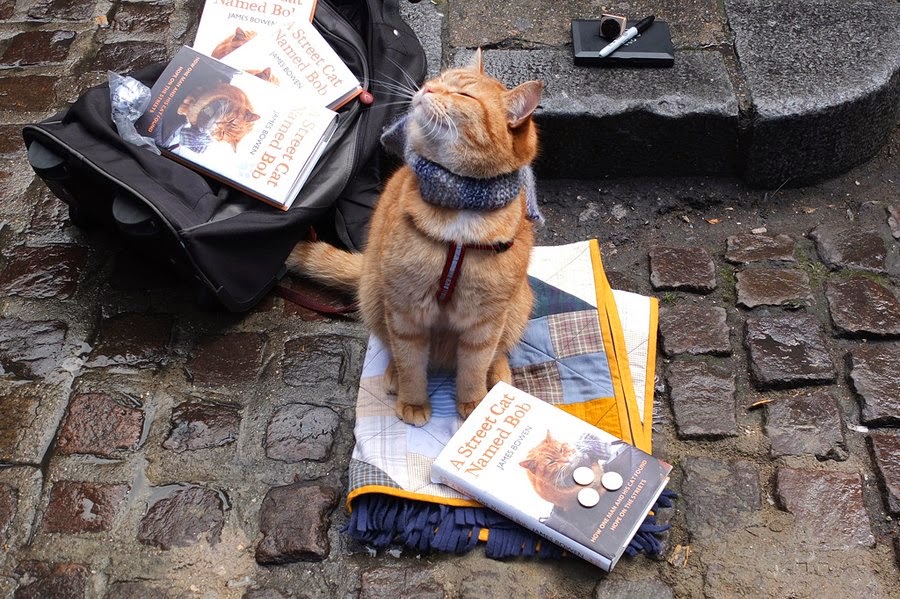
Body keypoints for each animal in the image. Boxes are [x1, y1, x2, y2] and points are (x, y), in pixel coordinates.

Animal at [288, 51, 540, 426]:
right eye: (439, 78)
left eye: (463, 94)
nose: (427, 87)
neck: (461, 205)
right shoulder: (405, 310)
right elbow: (410, 362)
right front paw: (413, 401)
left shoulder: (485, 320)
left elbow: (474, 367)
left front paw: (473, 403)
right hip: (374, 295)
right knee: (393, 348)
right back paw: (394, 374)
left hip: (516, 306)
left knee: (498, 353)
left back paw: (497, 376)